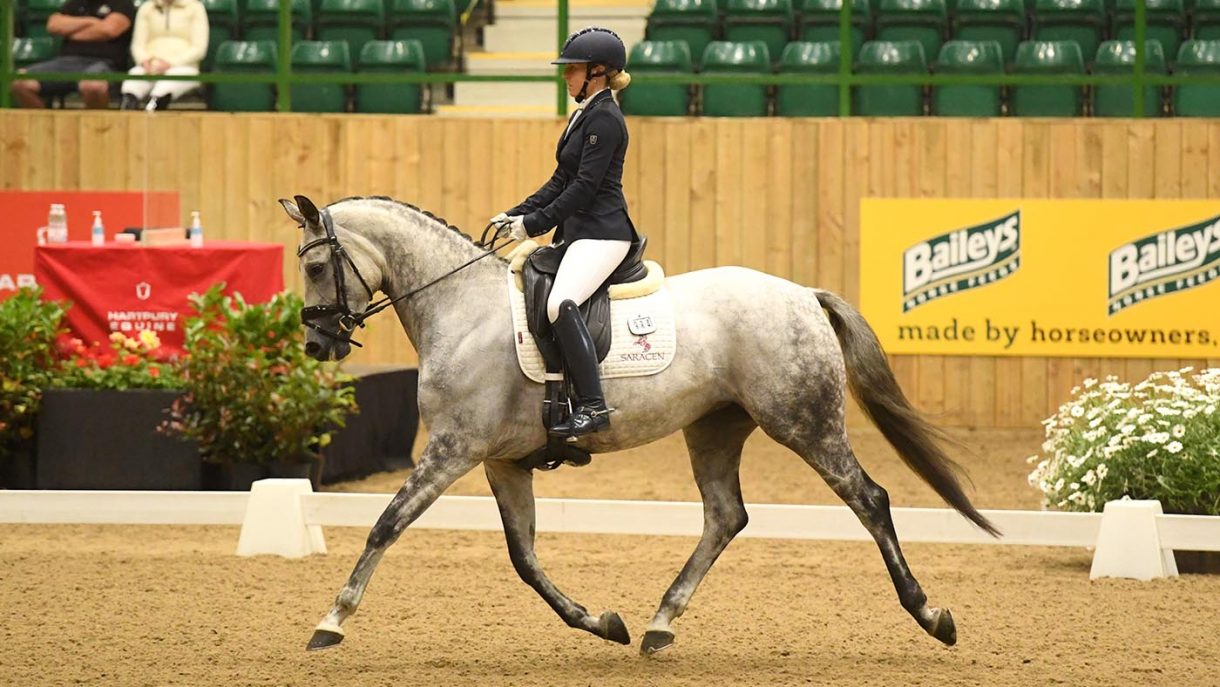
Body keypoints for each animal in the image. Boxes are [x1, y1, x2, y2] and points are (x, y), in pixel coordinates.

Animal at [280, 194, 999, 655]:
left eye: (314, 265)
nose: (317, 345)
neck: (461, 308)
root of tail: (802, 294)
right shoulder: (501, 460)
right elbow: (524, 558)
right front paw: (601, 621)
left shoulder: (454, 449)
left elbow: (386, 524)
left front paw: (331, 620)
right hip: (715, 428)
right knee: (725, 516)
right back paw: (659, 623)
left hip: (803, 422)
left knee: (869, 498)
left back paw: (931, 615)